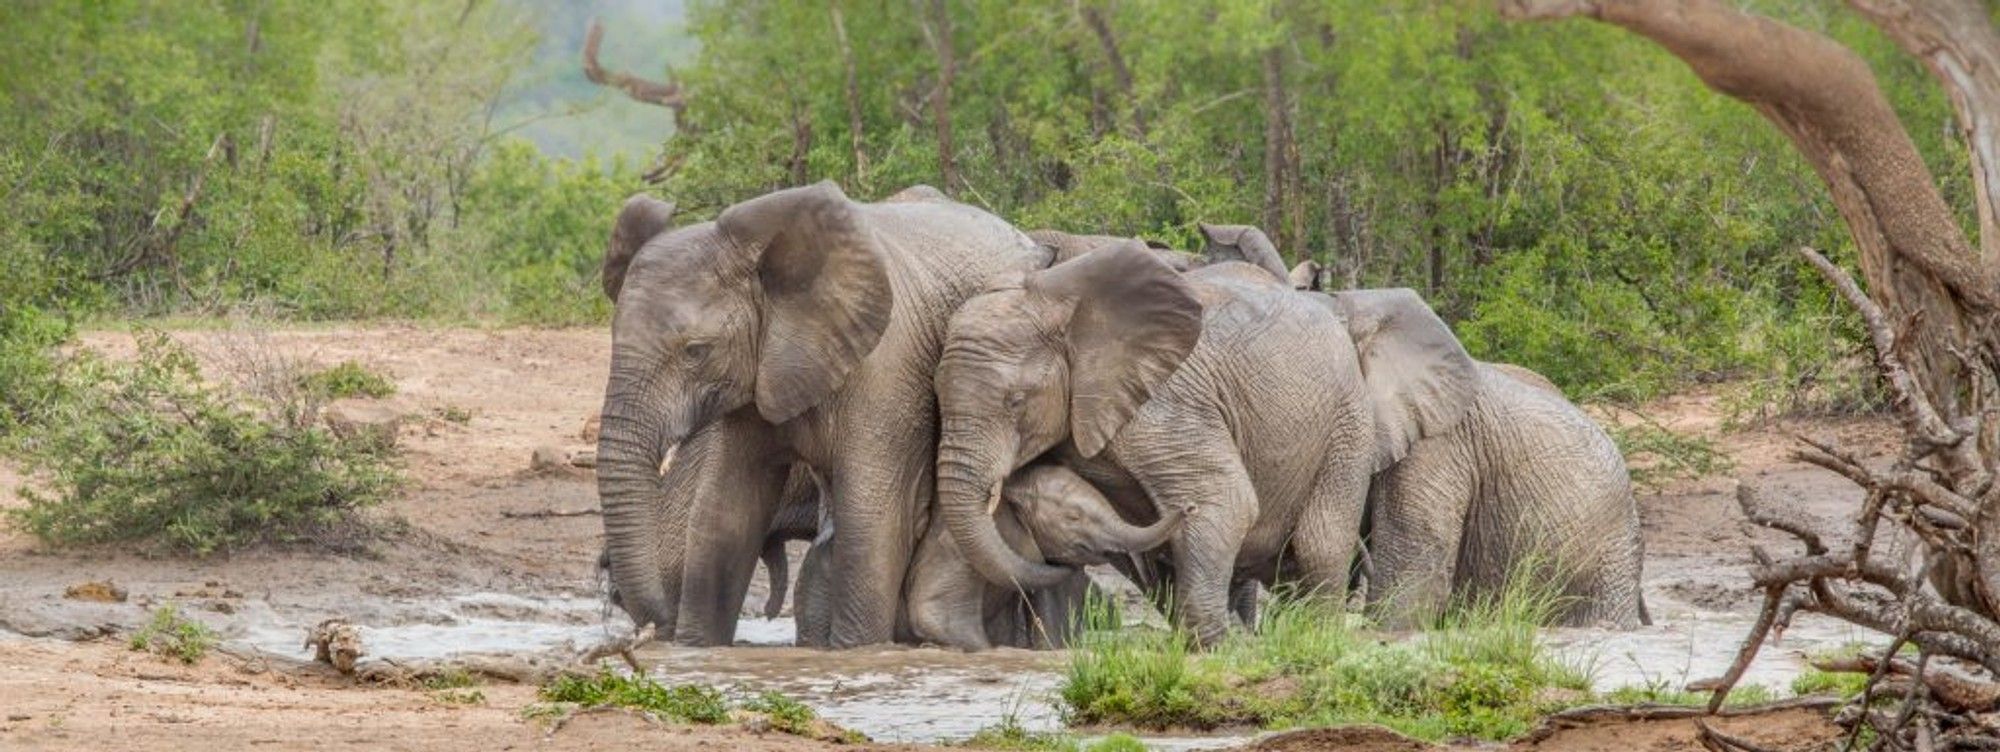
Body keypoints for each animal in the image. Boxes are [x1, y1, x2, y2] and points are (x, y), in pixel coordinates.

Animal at [595, 181, 1048, 647]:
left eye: (695, 351)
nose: (651, 622)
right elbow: (724, 512)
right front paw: (696, 649)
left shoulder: (888, 371)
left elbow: (871, 524)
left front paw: (856, 652)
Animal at [931, 241, 1477, 646]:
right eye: (934, 394)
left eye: (1016, 400)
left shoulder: (1165, 402)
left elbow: (1226, 499)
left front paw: (1213, 645)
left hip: (1348, 423)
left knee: (1320, 541)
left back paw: (1315, 637)